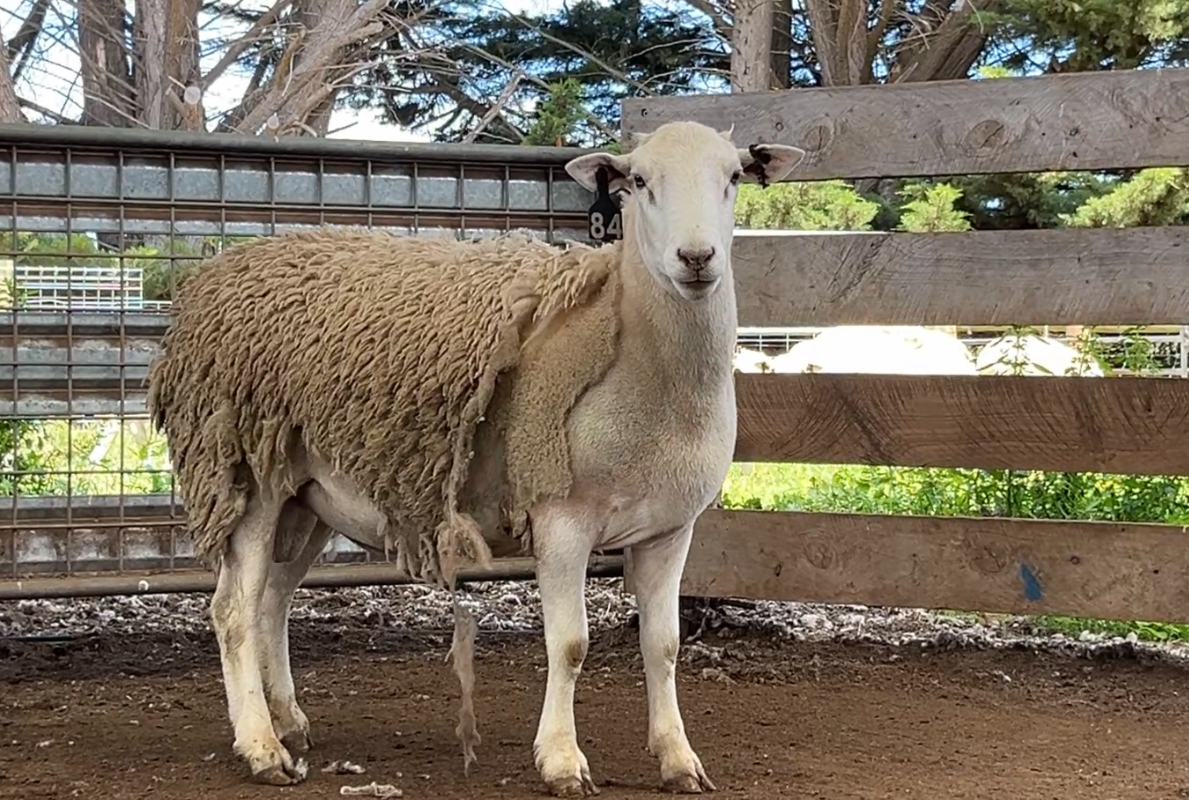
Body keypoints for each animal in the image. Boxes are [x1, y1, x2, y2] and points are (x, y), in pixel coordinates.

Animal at [145, 120, 807, 796]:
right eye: (640, 182)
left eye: (733, 177)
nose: (696, 259)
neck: (626, 344)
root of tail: (212, 276)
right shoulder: (561, 517)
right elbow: (570, 645)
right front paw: (562, 761)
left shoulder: (671, 529)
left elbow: (664, 645)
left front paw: (677, 758)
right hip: (244, 471)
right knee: (233, 611)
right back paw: (261, 747)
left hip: (304, 494)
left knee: (272, 601)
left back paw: (289, 723)